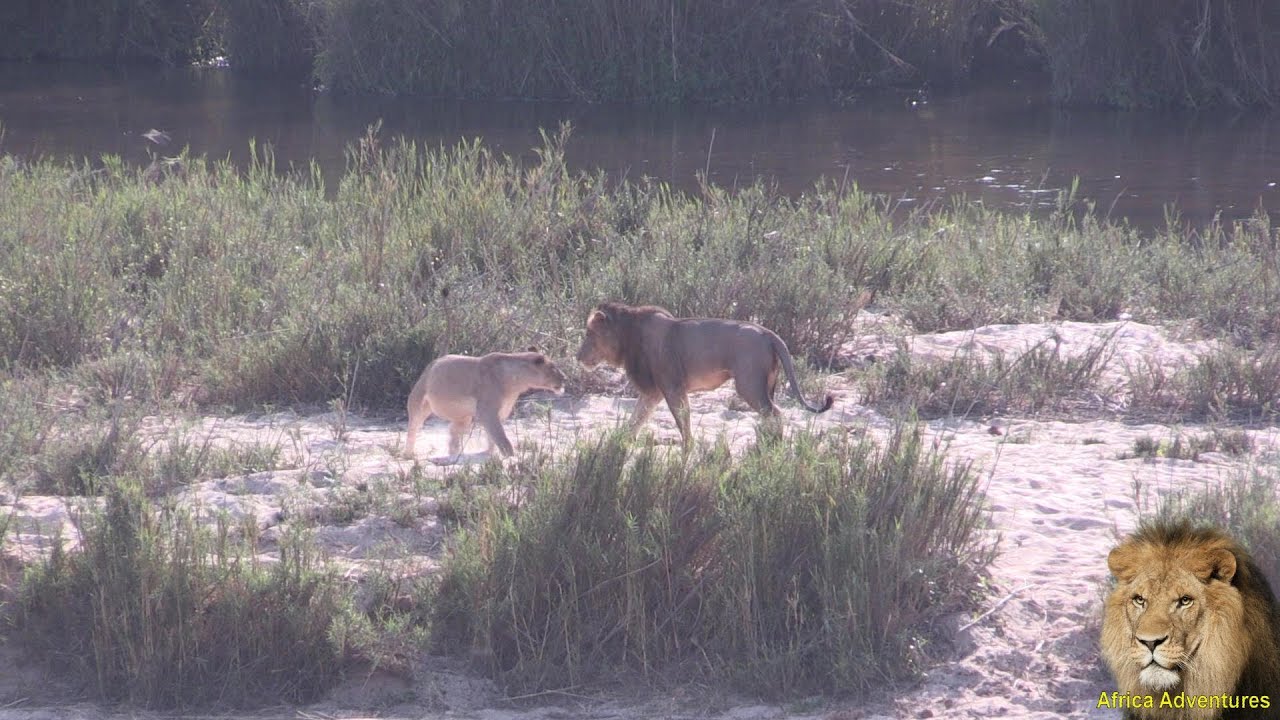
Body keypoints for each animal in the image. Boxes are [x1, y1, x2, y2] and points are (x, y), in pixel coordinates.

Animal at [404, 348, 565, 461]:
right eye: (553, 368)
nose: (565, 377)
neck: (516, 381)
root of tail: (432, 363)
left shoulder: (500, 412)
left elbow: (492, 436)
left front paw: (489, 453)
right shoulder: (487, 412)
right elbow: (501, 437)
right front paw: (510, 457)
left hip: (464, 417)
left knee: (453, 431)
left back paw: (454, 454)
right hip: (419, 401)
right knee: (413, 429)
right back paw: (409, 454)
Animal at [575, 301, 835, 445]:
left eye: (589, 334)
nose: (577, 356)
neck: (628, 335)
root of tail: (768, 333)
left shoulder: (672, 388)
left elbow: (682, 421)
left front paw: (687, 450)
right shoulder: (653, 392)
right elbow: (636, 420)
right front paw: (620, 443)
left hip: (749, 386)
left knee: (776, 414)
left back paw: (772, 447)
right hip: (766, 386)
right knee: (771, 415)